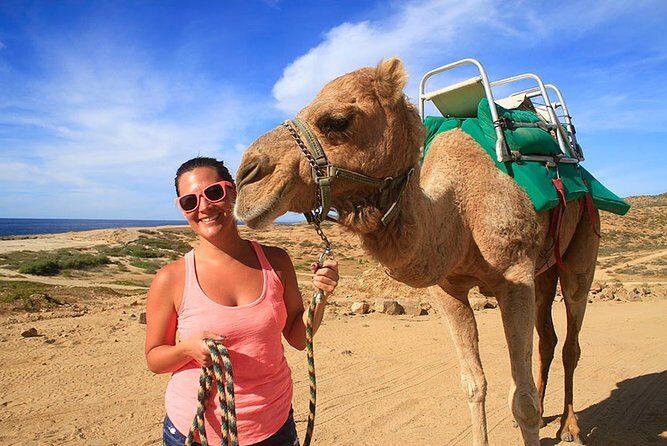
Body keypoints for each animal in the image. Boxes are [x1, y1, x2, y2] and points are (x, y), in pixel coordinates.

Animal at [234, 58, 599, 445]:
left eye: (338, 121)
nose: (246, 178)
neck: (459, 209)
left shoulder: (515, 277)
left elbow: (523, 399)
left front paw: (533, 415)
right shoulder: (447, 290)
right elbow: (474, 384)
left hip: (583, 244)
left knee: (572, 337)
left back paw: (570, 426)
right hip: (545, 269)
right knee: (548, 338)